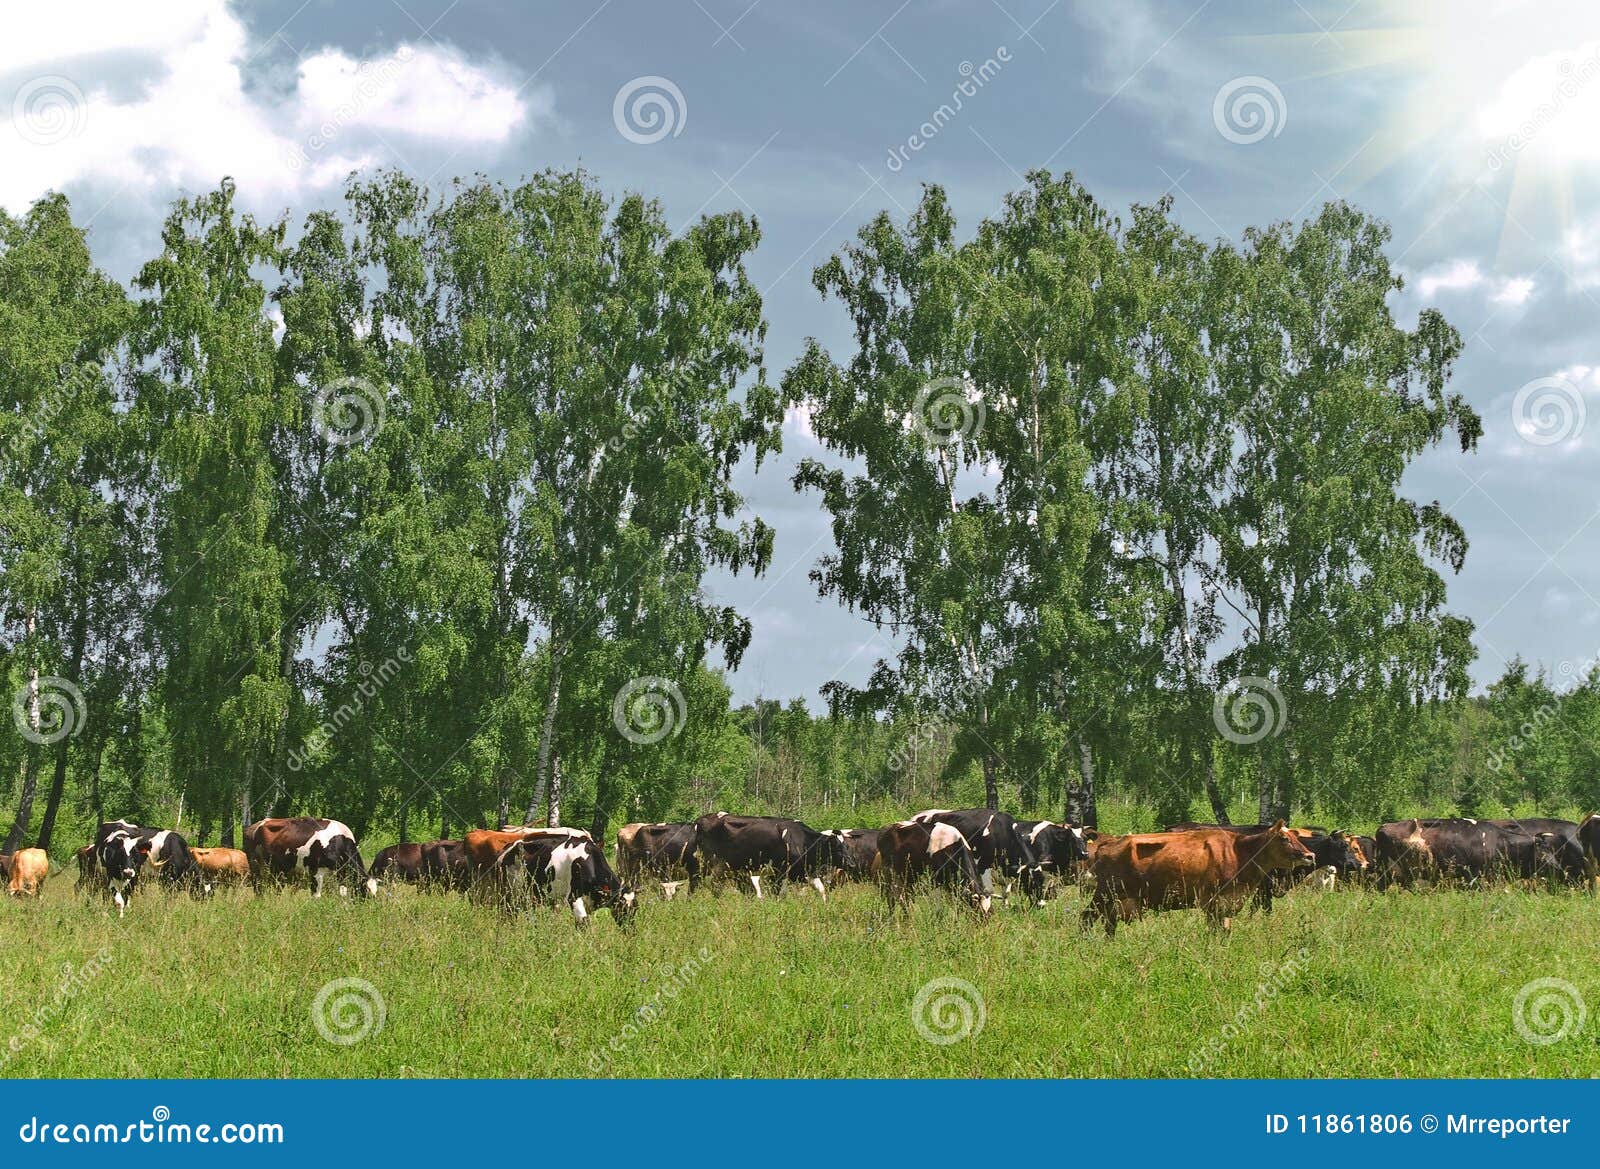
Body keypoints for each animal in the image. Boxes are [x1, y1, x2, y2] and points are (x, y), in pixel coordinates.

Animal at [242, 817, 377, 898]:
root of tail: (258, 824)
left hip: (277, 870)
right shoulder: (316, 872)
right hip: (255, 865)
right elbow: (316, 896)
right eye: (366, 891)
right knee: (258, 887)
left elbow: (342, 893)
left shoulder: (341, 874)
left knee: (275, 889)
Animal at [508, 835, 637, 926]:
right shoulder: (573, 896)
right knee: (512, 911)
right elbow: (584, 923)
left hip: (534, 896)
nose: (631, 931)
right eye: (622, 907)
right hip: (514, 892)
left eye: (636, 909)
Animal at [689, 813, 843, 899]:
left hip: (732, 870)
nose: (849, 862)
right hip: (711, 865)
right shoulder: (777, 874)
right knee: (704, 885)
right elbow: (778, 895)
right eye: (838, 849)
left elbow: (822, 890)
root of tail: (700, 820)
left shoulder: (805, 873)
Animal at [910, 809, 1046, 905]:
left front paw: (1005, 907)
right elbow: (989, 891)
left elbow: (1006, 892)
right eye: (1033, 881)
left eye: (1043, 880)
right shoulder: (983, 865)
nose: (1041, 905)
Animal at [1083, 821, 1316, 936]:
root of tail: (1107, 844)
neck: (1239, 852)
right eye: (1284, 838)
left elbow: (1225, 930)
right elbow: (1215, 930)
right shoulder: (1212, 901)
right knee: (1086, 918)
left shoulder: (1226, 902)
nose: (1310, 855)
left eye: (1295, 836)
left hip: (1115, 900)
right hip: (1104, 893)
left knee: (1108, 924)